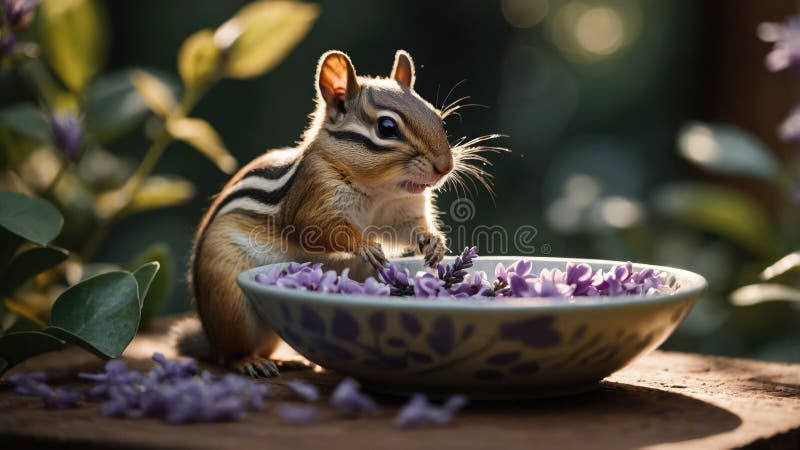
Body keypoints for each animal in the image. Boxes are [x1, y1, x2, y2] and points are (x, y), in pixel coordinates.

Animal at [175, 50, 500, 377]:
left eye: (439, 120)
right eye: (387, 127)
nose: (445, 166)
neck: (379, 189)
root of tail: (210, 338)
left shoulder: (401, 211)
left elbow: (407, 230)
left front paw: (433, 243)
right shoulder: (315, 195)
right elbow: (319, 228)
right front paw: (365, 246)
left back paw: (286, 359)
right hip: (228, 298)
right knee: (230, 354)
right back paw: (250, 362)